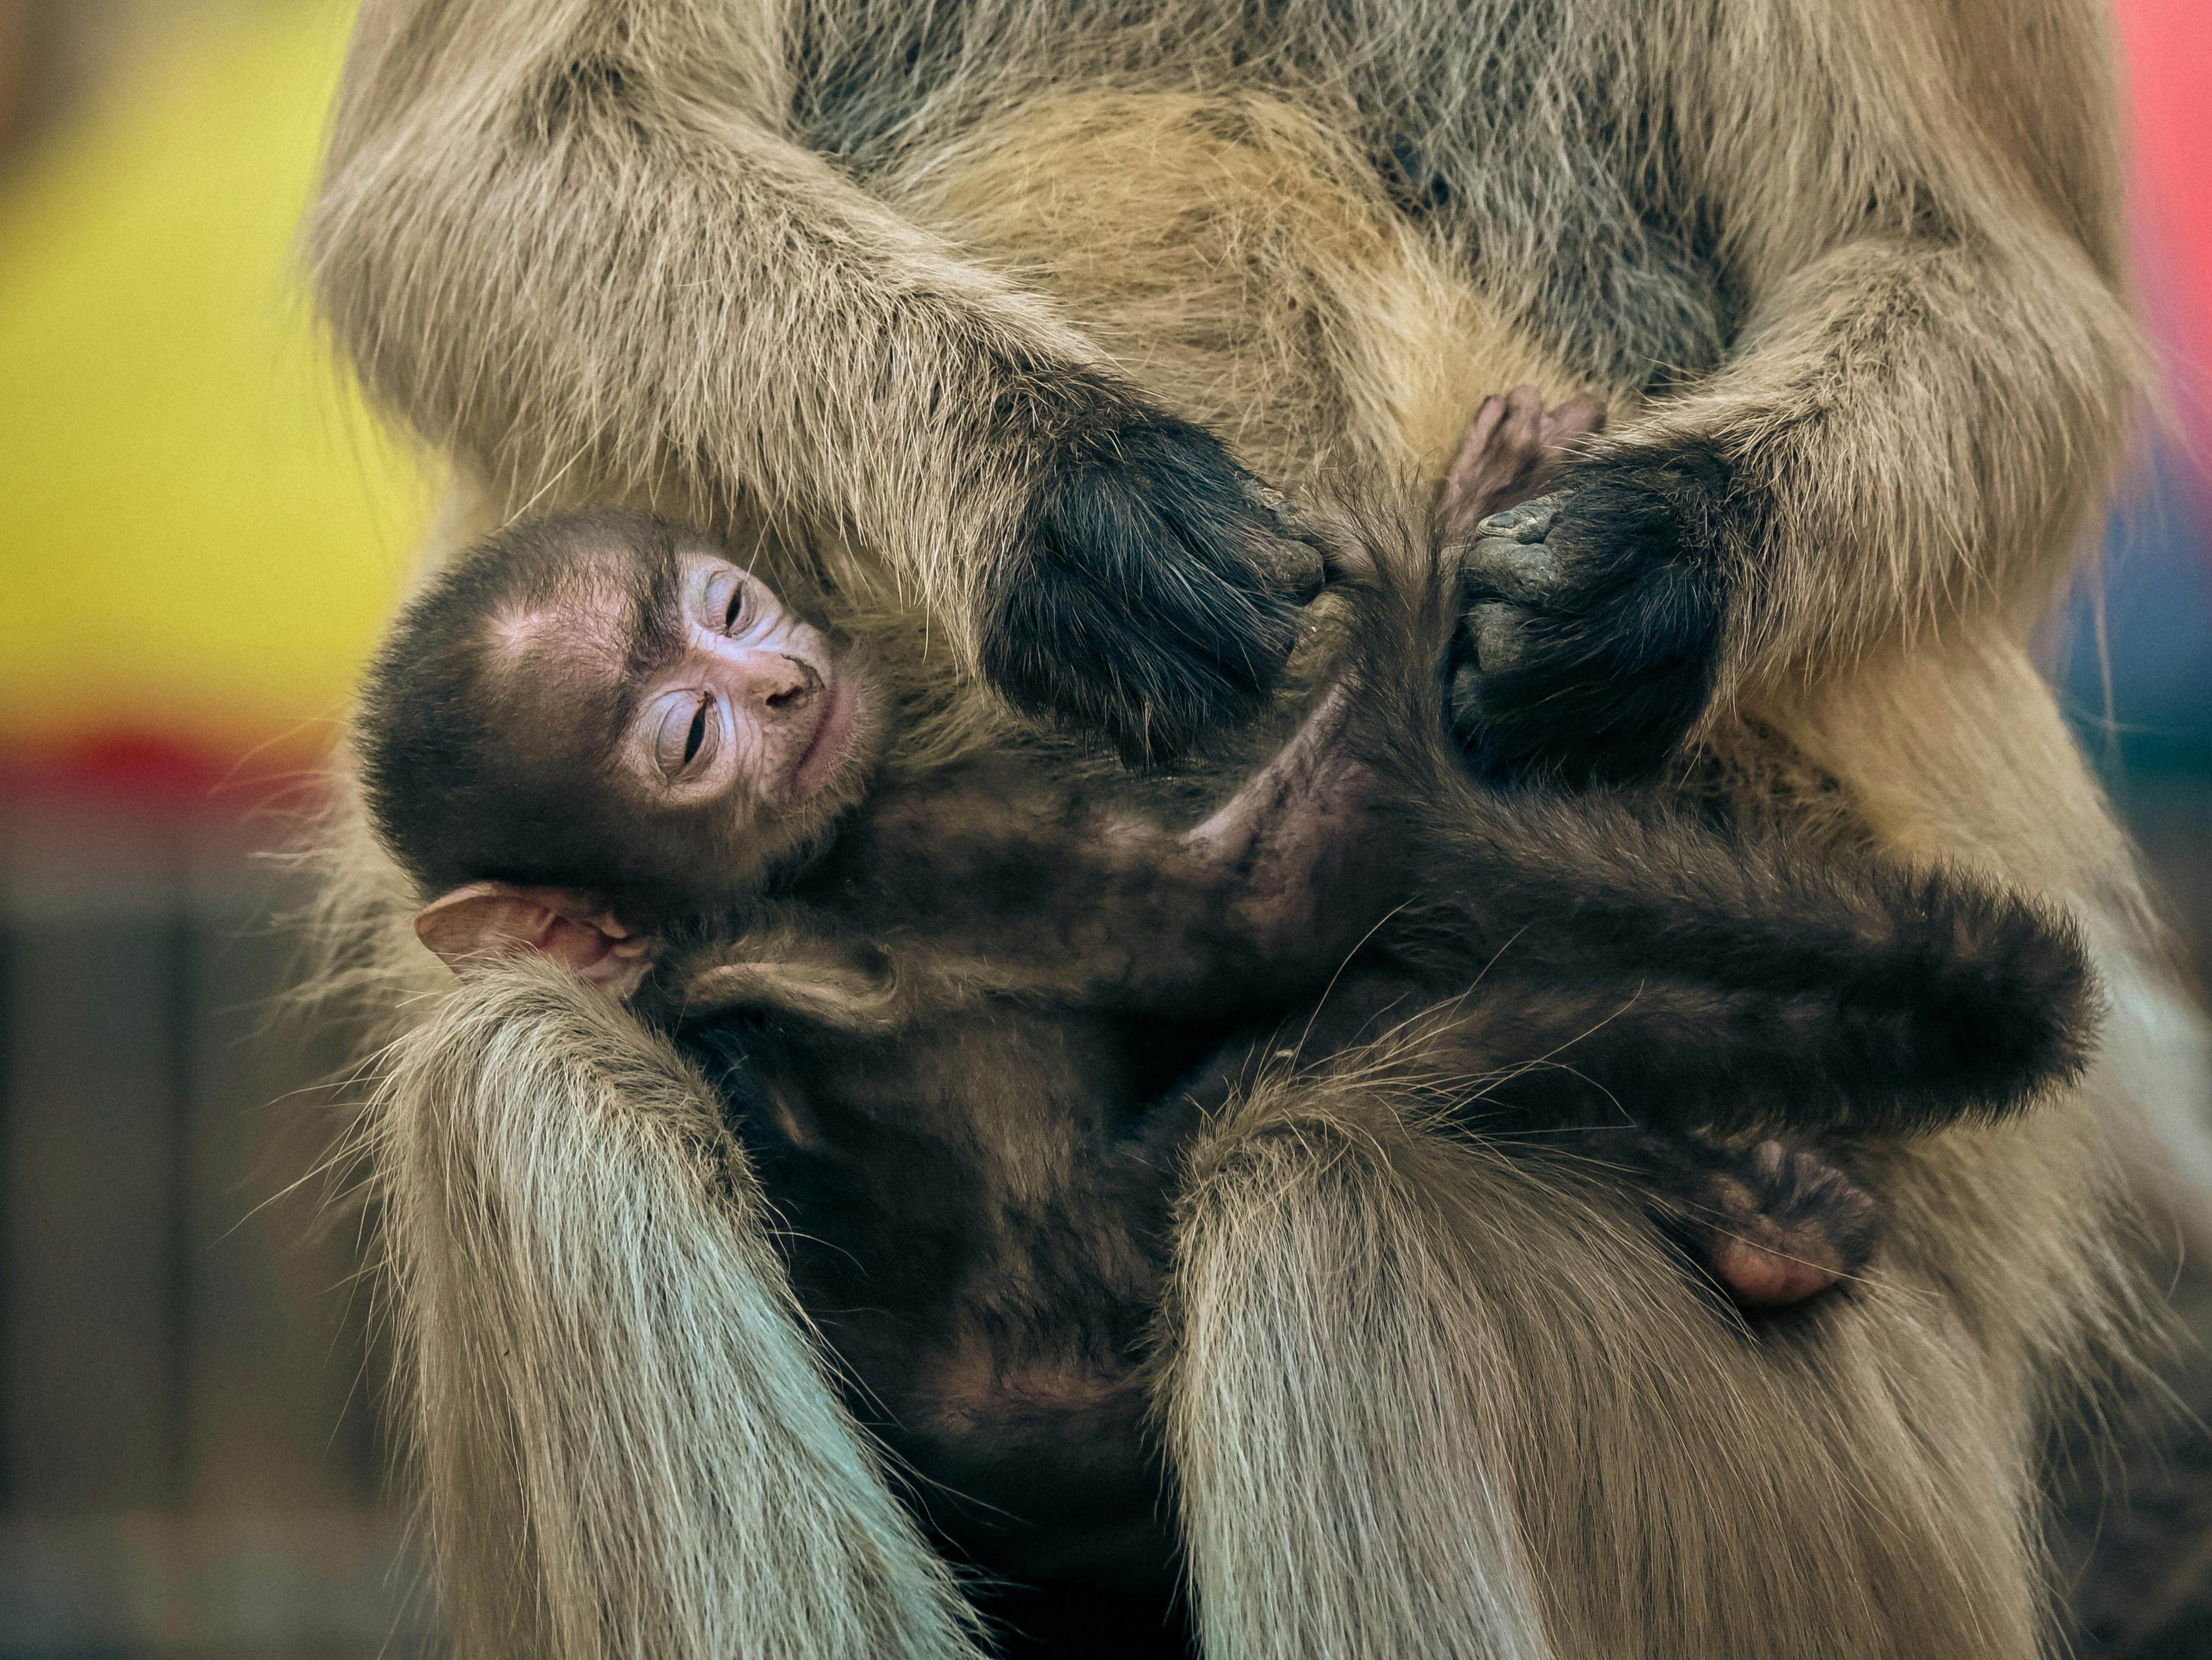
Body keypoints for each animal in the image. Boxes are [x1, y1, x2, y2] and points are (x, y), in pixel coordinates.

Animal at [307, 0, 2212, 1652]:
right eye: (690, 727)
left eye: (728, 618)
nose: (777, 687)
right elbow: (471, 179)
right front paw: (1070, 504)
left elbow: (1994, 298)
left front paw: (1645, 575)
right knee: (525, 1070)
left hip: (1858, 1484)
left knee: (1323, 1211)